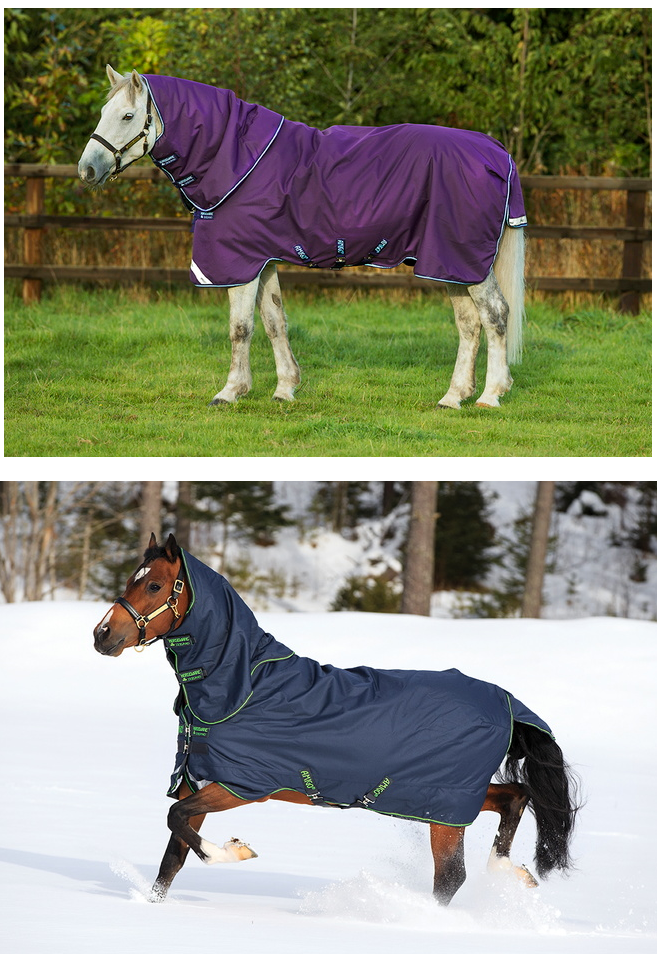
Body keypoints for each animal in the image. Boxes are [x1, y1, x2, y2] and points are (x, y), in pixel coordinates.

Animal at [78, 66, 527, 410]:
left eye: (127, 116)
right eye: (103, 111)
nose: (87, 169)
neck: (236, 158)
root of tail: (497, 152)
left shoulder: (239, 264)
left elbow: (240, 328)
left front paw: (230, 392)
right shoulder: (264, 260)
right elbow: (275, 322)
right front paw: (284, 389)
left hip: (465, 261)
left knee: (495, 316)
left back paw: (489, 396)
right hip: (447, 263)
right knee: (469, 324)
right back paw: (453, 397)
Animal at [93, 533, 578, 906]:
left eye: (155, 585)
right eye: (132, 580)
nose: (102, 634)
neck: (240, 690)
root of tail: (508, 707)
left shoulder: (241, 786)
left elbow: (177, 821)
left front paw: (235, 851)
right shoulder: (198, 781)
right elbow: (172, 856)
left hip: (443, 808)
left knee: (451, 876)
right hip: (448, 798)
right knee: (515, 797)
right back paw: (512, 874)